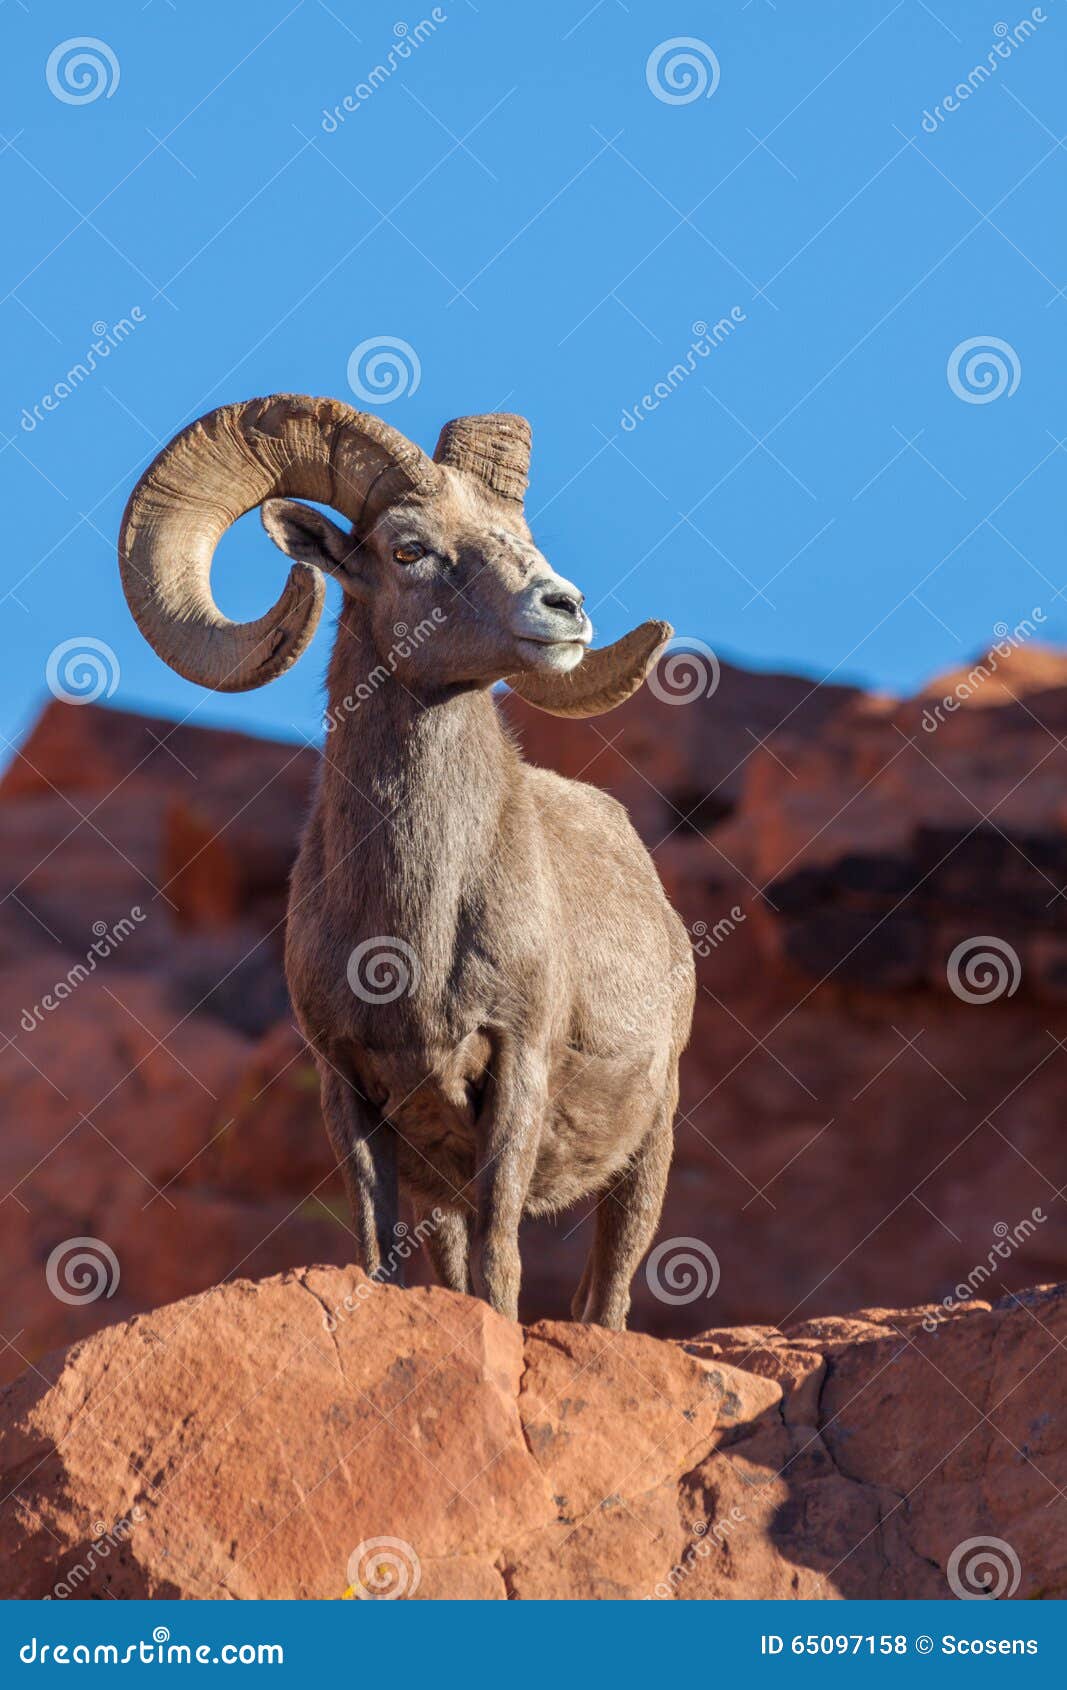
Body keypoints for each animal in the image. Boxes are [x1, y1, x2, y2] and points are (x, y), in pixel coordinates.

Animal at [119, 394, 695, 1328]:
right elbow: (379, 1256)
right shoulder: (353, 1093)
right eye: (410, 550)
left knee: (607, 1297)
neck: (412, 931)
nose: (564, 609)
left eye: (517, 533)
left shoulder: (516, 1068)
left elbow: (501, 1261)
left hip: (647, 1152)